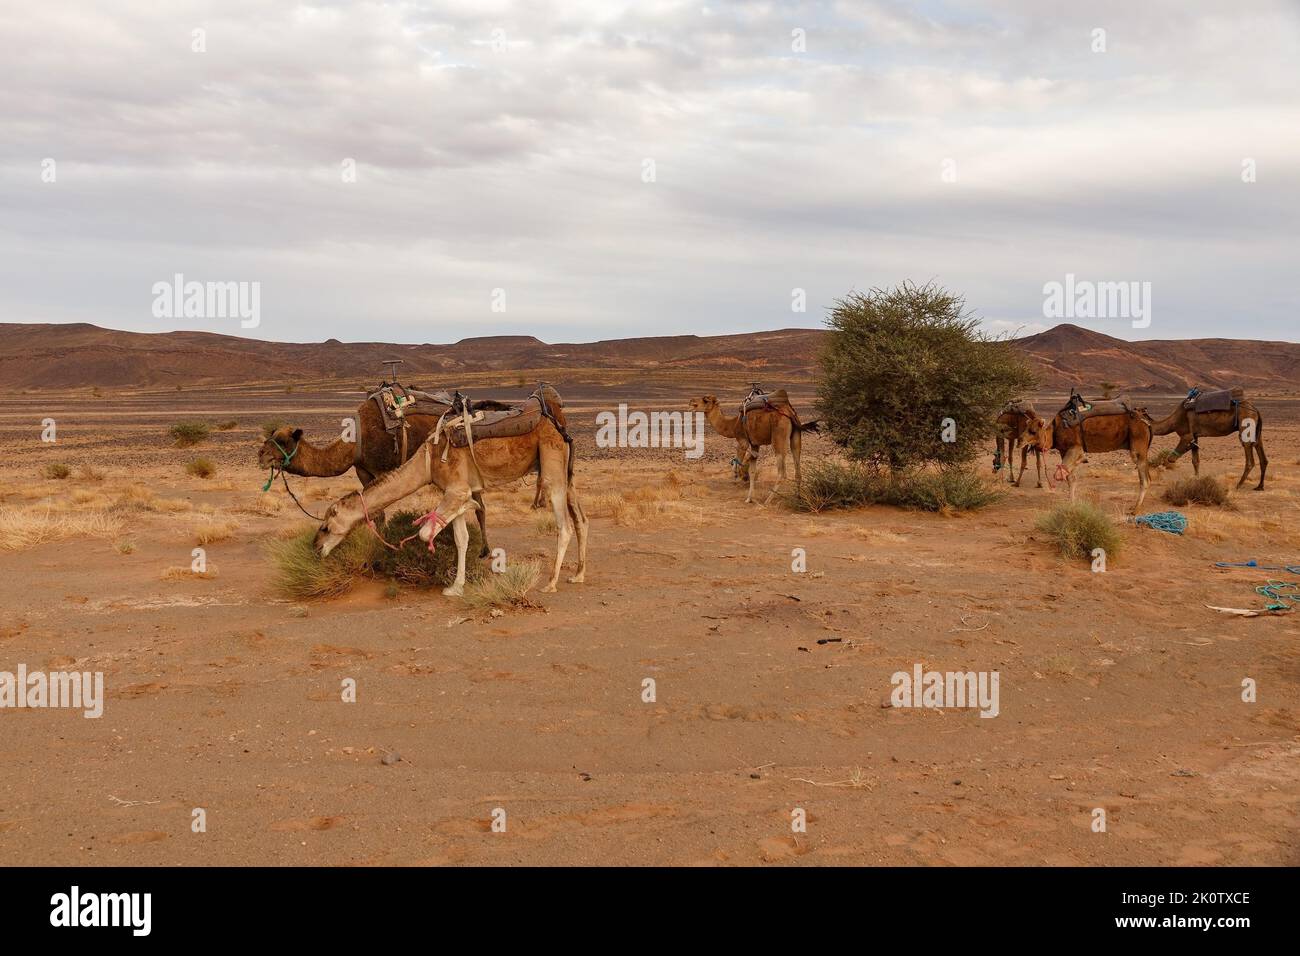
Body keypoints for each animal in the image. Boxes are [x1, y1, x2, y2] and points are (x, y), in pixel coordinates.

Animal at [313, 403, 587, 596]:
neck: (427, 461)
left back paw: (551, 583)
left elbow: (425, 533)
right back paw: (578, 575)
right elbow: (460, 539)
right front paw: (456, 587)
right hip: (566, 473)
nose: (315, 547)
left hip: (551, 466)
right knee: (581, 520)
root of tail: (560, 426)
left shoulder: (456, 489)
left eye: (325, 527)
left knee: (565, 525)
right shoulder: (453, 492)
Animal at [689, 393, 818, 504]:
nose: (691, 402)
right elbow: (752, 471)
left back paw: (767, 501)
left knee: (782, 472)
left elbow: (737, 466)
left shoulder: (742, 441)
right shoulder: (755, 444)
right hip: (796, 436)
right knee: (797, 469)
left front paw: (740, 482)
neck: (733, 424)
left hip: (778, 436)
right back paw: (798, 498)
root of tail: (790, 414)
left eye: (705, 400)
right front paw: (749, 498)